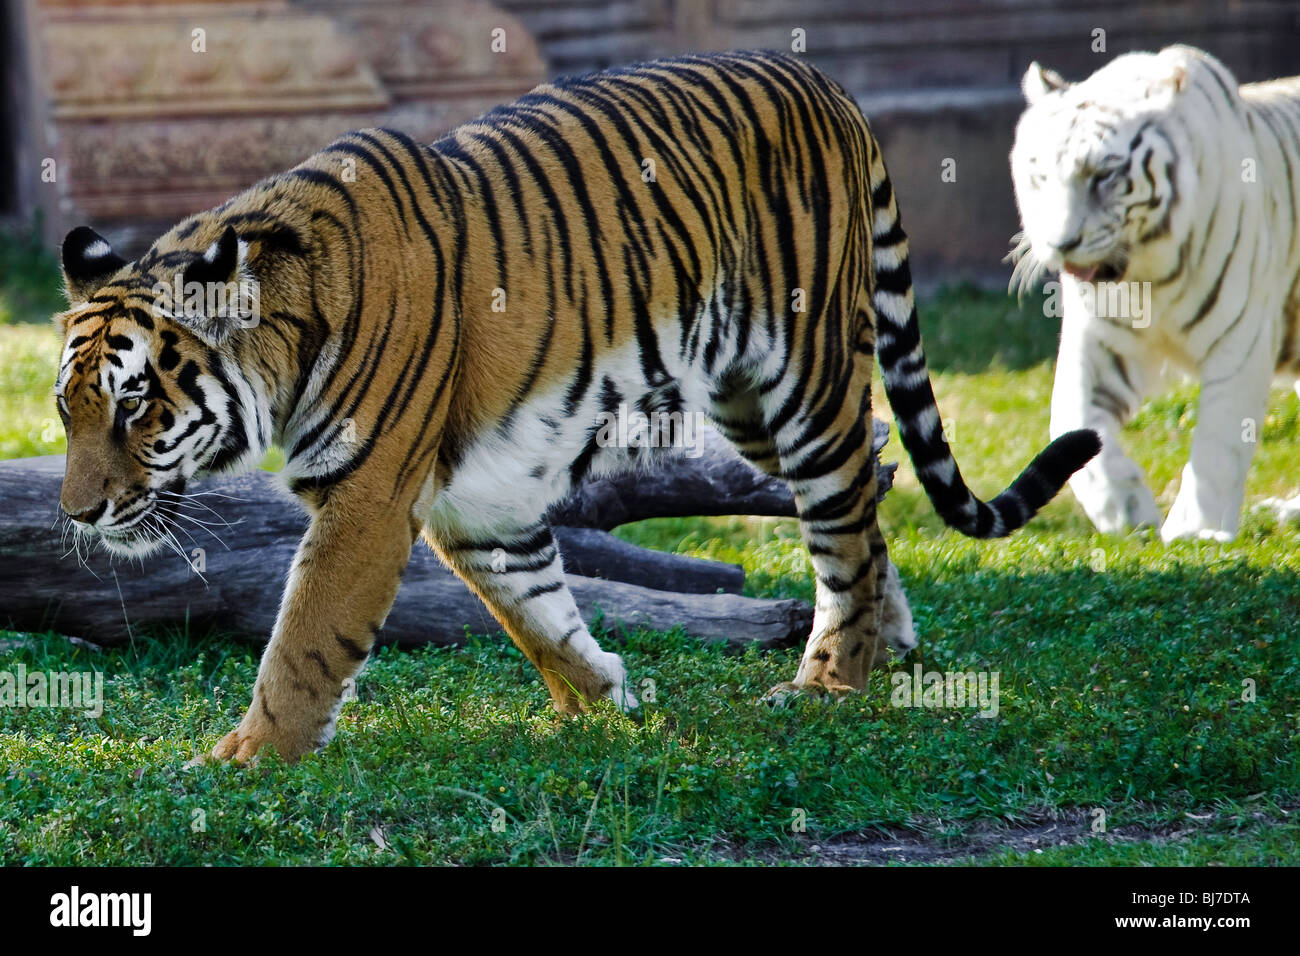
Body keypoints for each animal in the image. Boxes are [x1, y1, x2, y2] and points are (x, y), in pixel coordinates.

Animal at [52, 50, 1099, 763]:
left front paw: (244, 761)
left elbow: (305, 638)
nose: (78, 514)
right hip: (749, 408)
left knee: (843, 531)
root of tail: (824, 81)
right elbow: (534, 611)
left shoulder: (368, 498)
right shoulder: (477, 502)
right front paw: (603, 701)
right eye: (66, 414)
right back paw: (889, 645)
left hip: (804, 386)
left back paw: (831, 683)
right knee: (869, 516)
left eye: (135, 405)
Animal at [1009, 44, 1300, 541]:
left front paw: (1196, 531)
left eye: (1103, 175)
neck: (1145, 272)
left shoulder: (1240, 341)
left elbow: (1219, 442)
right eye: (1041, 175)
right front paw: (1124, 508)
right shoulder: (1099, 340)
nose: (1061, 243)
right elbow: (1069, 414)